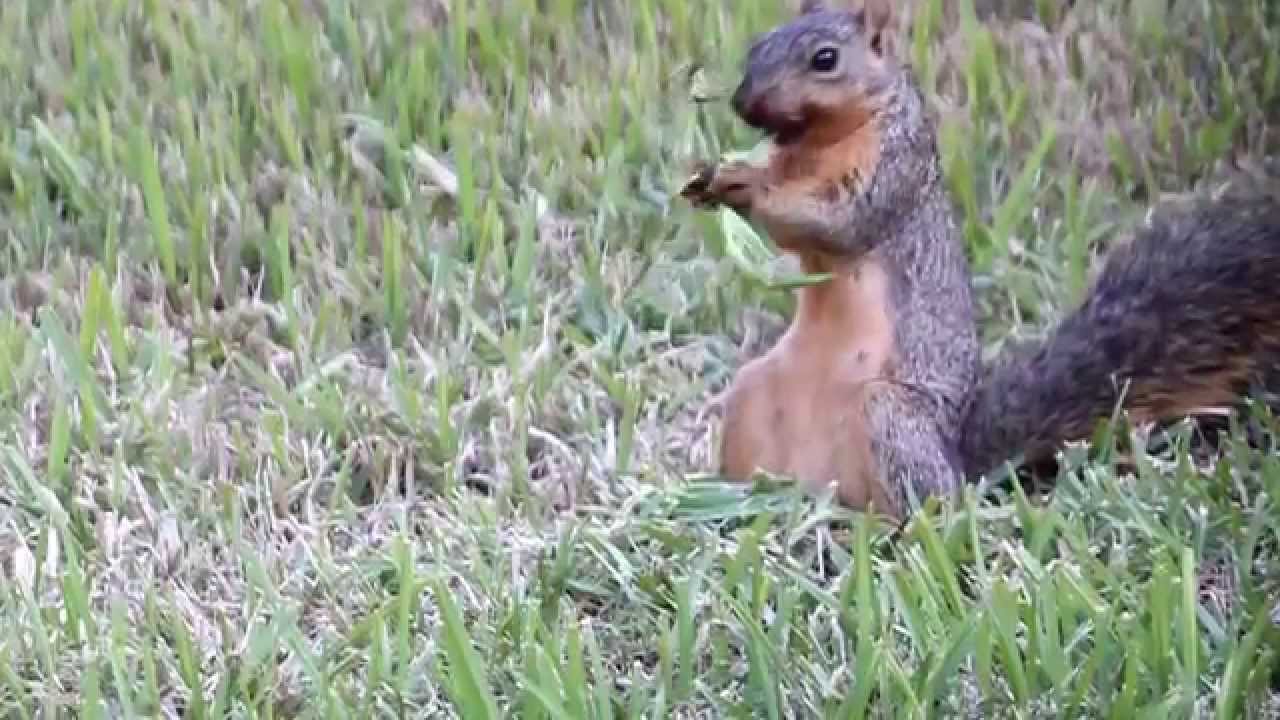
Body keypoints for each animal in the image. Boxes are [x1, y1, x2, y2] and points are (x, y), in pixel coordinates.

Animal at [681, 0, 1280, 519]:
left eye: (824, 59)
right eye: (758, 45)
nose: (742, 104)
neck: (818, 141)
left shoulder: (895, 166)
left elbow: (841, 220)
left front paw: (743, 182)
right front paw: (711, 178)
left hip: (889, 418)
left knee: (926, 509)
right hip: (753, 397)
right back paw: (729, 496)